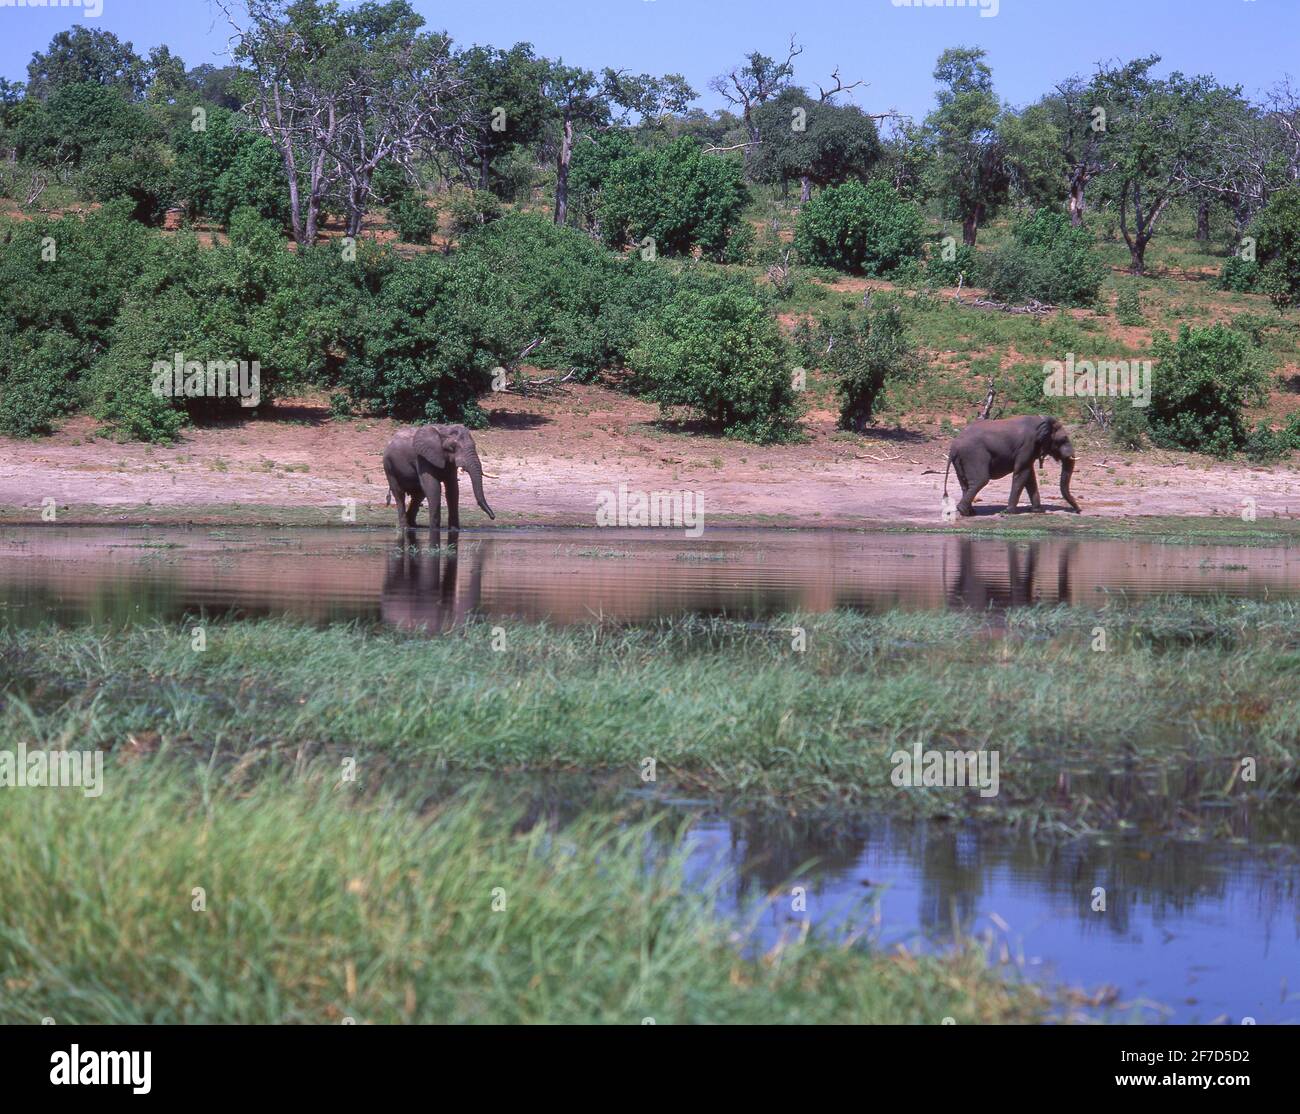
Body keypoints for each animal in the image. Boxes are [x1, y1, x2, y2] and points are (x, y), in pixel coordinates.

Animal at [943, 415, 1081, 517]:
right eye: (1063, 439)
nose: (1078, 511)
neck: (1044, 421)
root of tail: (953, 447)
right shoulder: (1027, 445)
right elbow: (1022, 473)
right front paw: (1009, 512)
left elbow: (1029, 476)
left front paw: (1037, 511)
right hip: (974, 455)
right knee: (980, 480)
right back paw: (964, 511)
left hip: (961, 460)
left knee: (965, 483)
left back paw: (970, 512)